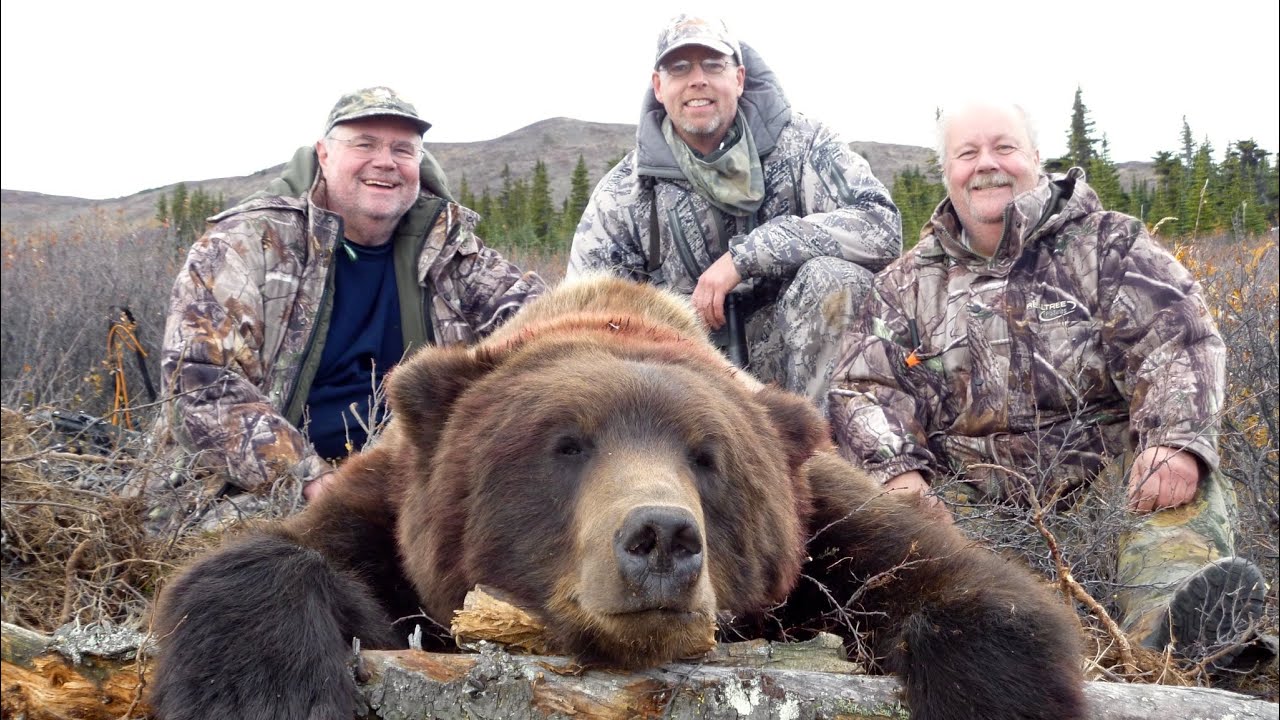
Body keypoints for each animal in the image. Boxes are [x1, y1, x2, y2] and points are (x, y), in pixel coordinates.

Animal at [150, 275, 1086, 720]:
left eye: (708, 458)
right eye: (566, 444)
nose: (661, 535)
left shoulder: (826, 513)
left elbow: (965, 587)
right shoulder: (387, 510)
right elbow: (272, 561)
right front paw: (260, 694)